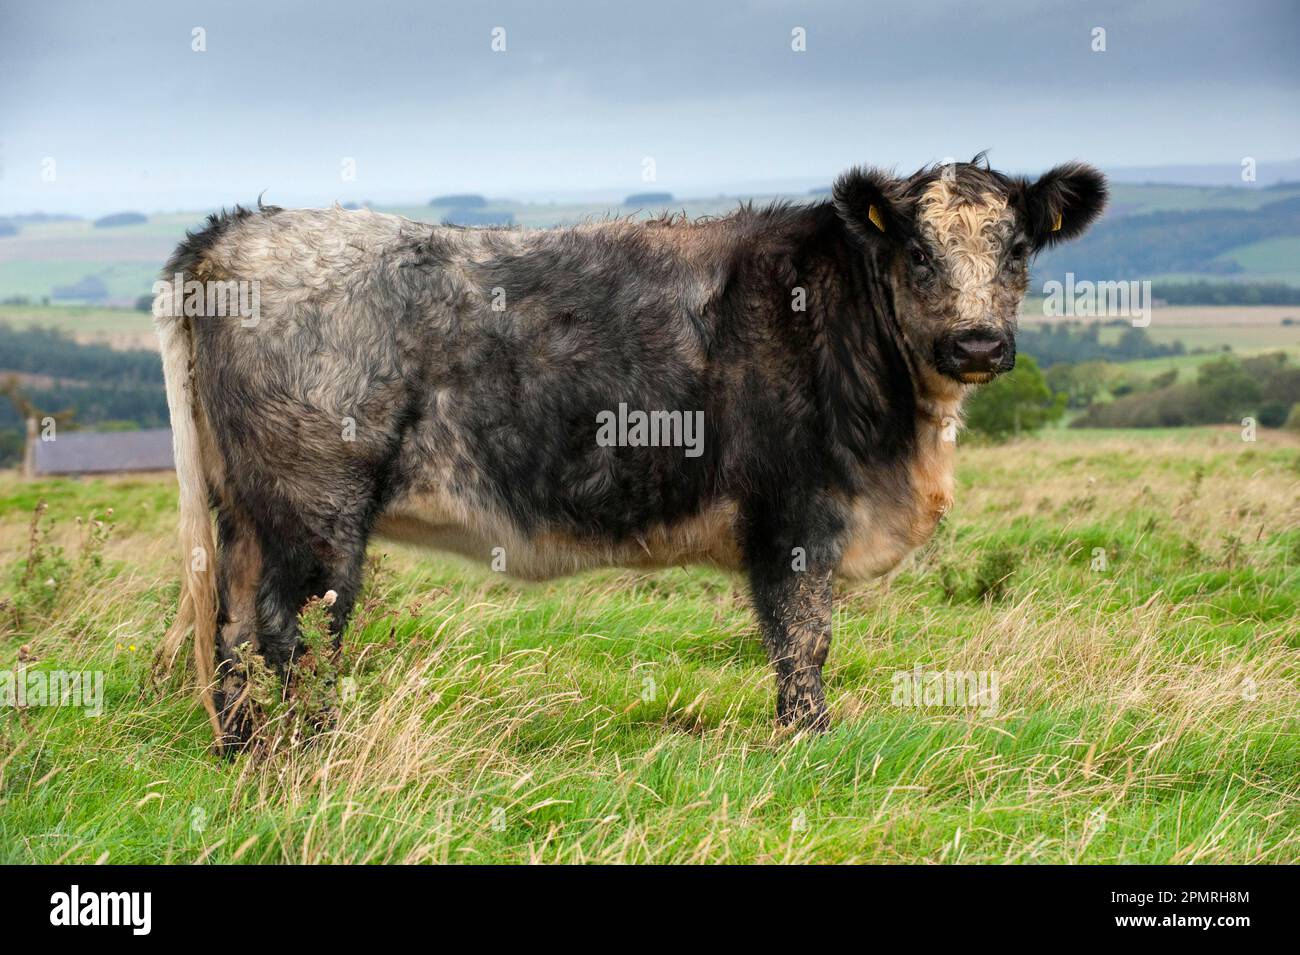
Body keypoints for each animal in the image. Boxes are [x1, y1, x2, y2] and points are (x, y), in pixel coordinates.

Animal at [154, 156, 1106, 751]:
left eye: (1019, 248)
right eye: (915, 248)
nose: (977, 344)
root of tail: (233, 231)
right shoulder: (794, 515)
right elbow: (802, 639)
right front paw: (809, 742)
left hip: (247, 513)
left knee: (230, 631)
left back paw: (246, 750)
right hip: (315, 512)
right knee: (293, 633)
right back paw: (317, 750)